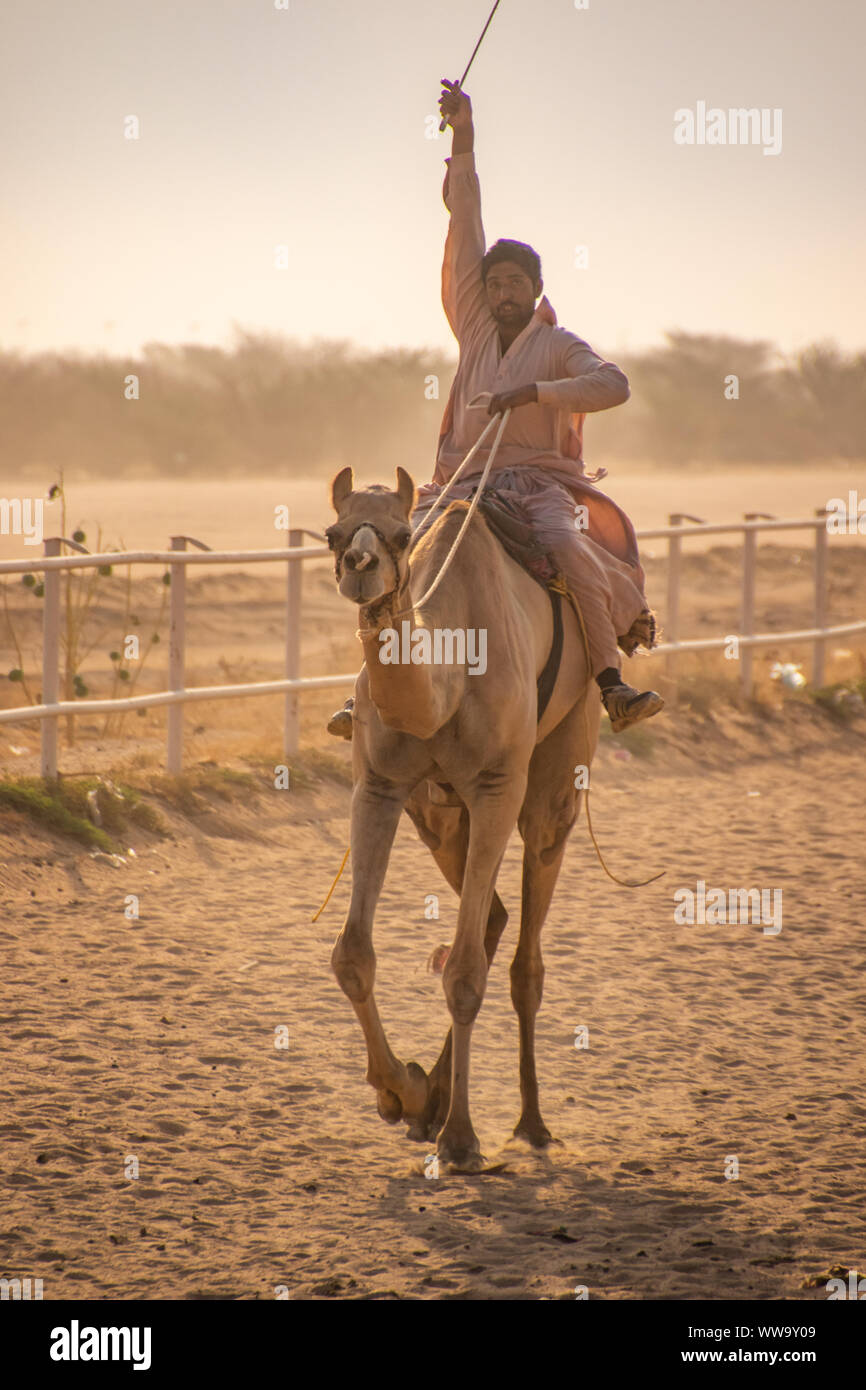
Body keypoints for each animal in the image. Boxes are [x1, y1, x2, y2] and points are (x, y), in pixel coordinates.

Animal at [326, 463, 599, 1171]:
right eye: (333, 531)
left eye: (400, 534)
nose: (359, 565)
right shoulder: (379, 785)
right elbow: (353, 955)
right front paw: (403, 1092)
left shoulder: (498, 786)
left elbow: (467, 973)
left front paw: (461, 1139)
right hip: (439, 816)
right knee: (494, 917)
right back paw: (435, 1103)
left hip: (556, 778)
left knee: (524, 959)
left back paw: (530, 1123)